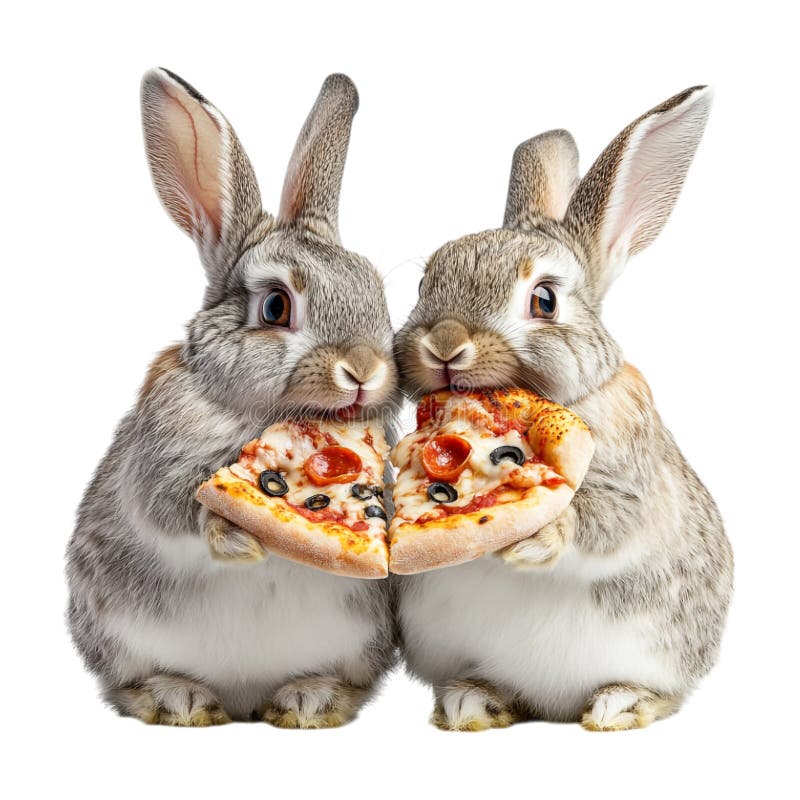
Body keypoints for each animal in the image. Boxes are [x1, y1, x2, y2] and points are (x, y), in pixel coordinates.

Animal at [65, 68, 400, 727]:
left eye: (375, 289)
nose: (365, 370)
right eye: (275, 306)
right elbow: (173, 507)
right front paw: (238, 538)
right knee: (130, 684)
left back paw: (308, 699)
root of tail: (245, 698)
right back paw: (181, 698)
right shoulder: (159, 461)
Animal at [393, 87, 733, 732]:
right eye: (426, 283)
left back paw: (618, 705)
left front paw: (537, 538)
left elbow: (607, 519)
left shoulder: (630, 483)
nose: (444, 345)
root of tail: (553, 706)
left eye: (544, 300)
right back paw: (471, 701)